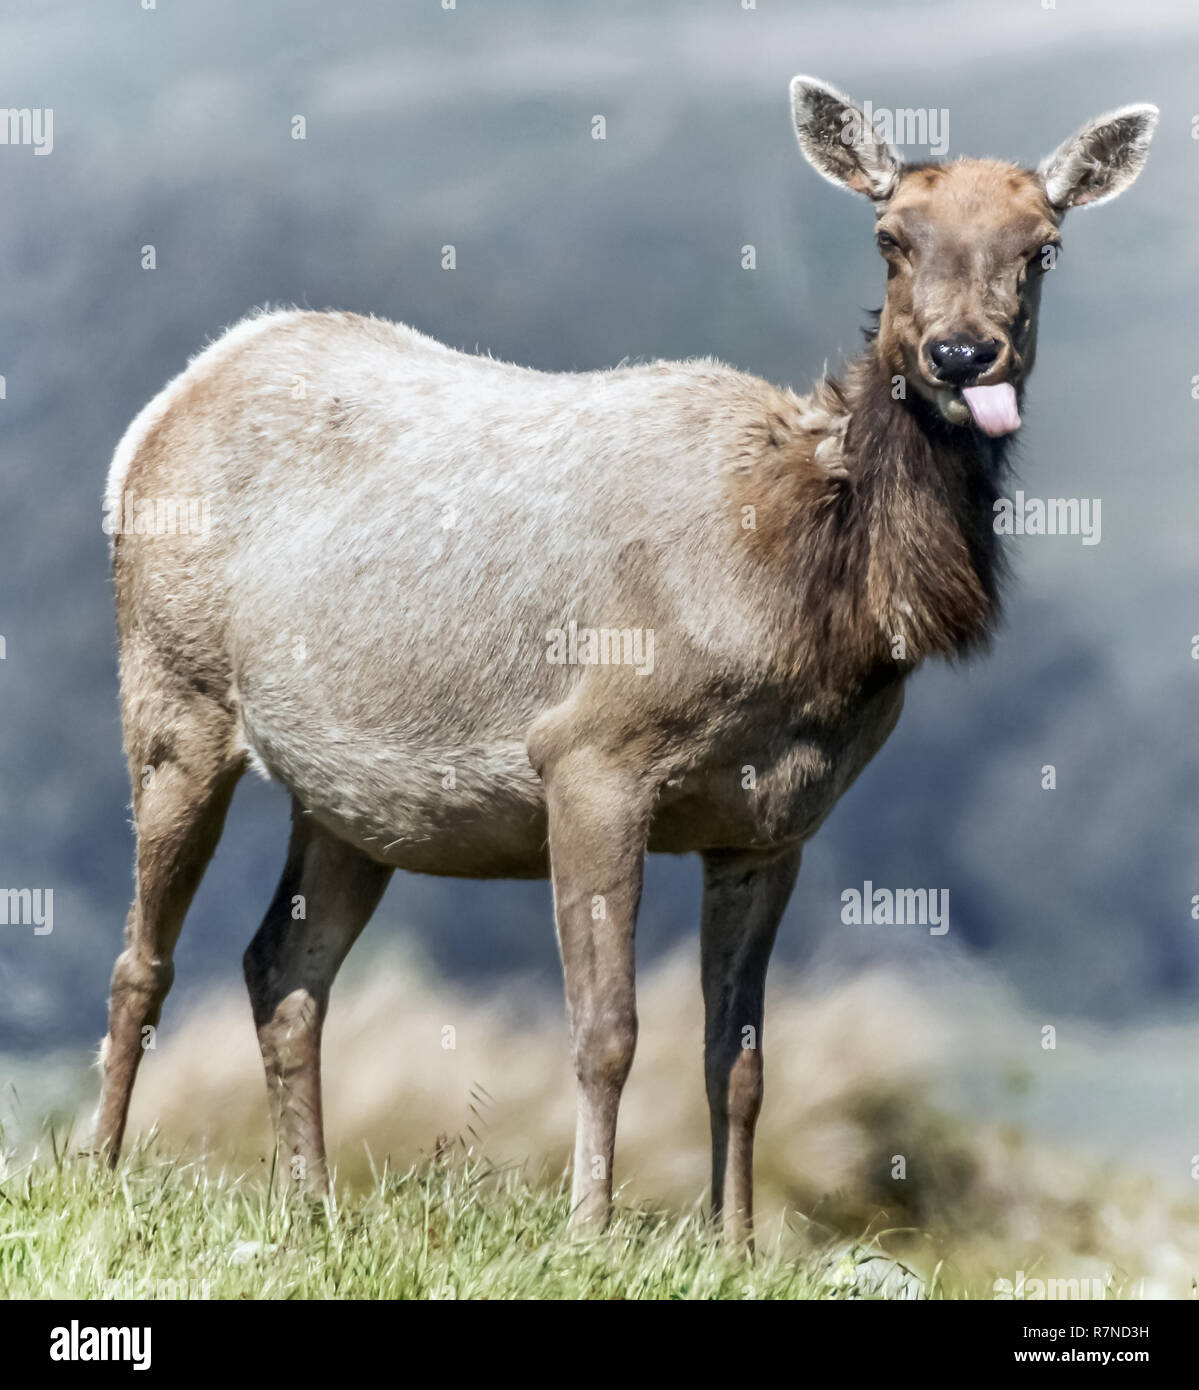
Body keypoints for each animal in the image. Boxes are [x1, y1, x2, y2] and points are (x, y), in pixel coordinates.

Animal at [94, 76, 1156, 1246]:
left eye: (1042, 246)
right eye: (890, 236)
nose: (962, 357)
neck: (803, 604)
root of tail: (155, 415)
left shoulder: (776, 821)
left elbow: (737, 1057)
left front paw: (735, 1243)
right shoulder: (592, 752)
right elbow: (607, 1030)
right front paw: (587, 1226)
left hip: (351, 796)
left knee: (280, 968)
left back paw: (312, 1201)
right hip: (174, 689)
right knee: (143, 957)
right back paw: (95, 1167)